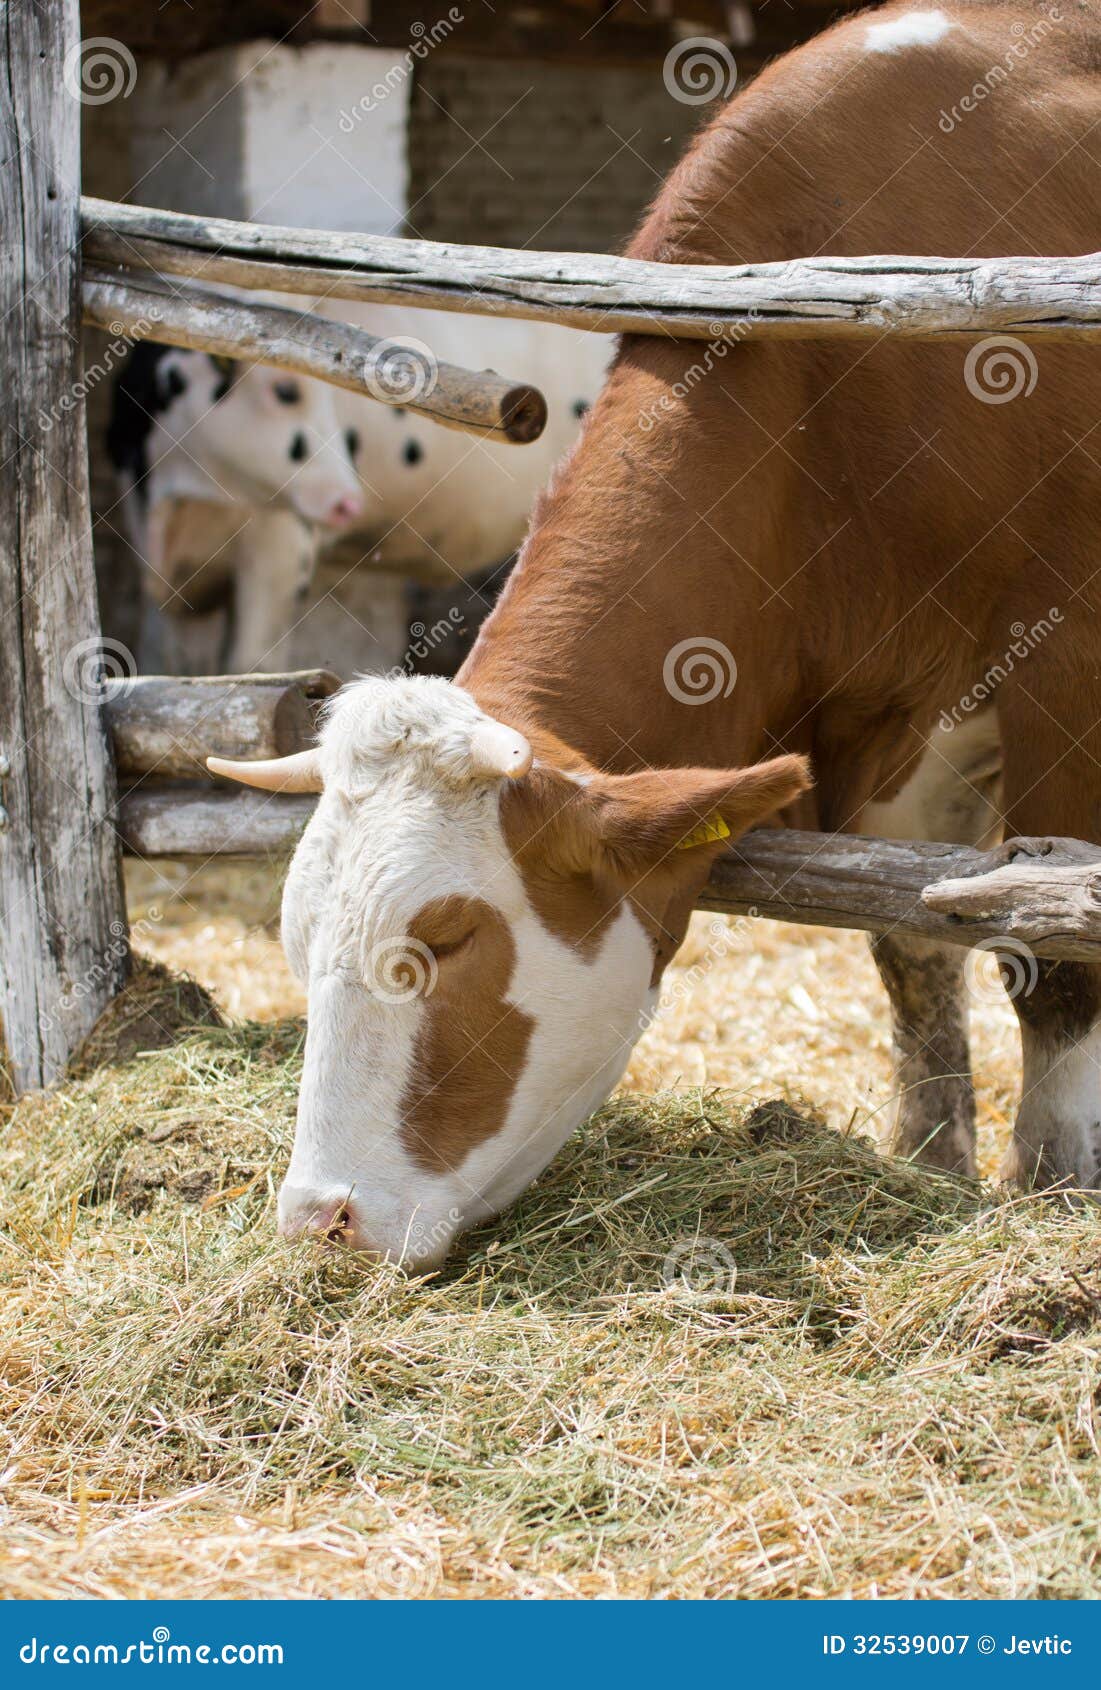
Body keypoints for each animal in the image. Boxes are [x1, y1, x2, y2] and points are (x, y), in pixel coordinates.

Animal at [210, 0, 1101, 1268]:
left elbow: (1055, 952)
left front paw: (1056, 1192)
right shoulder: (903, 720)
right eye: (296, 939)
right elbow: (918, 944)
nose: (322, 1219)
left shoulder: (1066, 665)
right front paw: (932, 1168)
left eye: (441, 945)